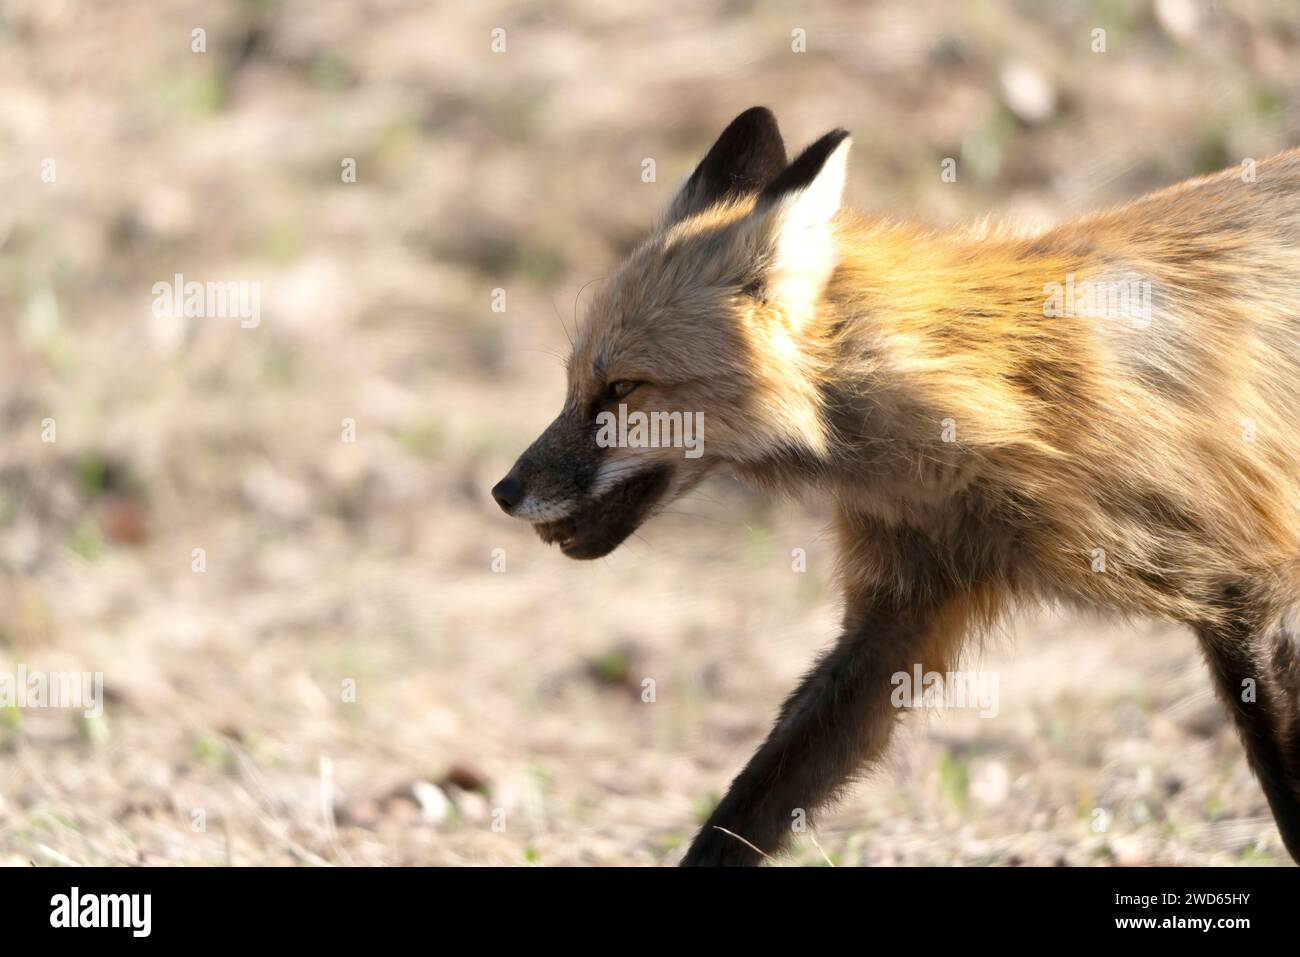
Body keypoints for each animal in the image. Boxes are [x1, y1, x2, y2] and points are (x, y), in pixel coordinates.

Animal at [491, 106, 1300, 866]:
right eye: (573, 386)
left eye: (621, 389)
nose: (504, 491)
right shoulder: (899, 619)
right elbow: (746, 807)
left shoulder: (1247, 594)